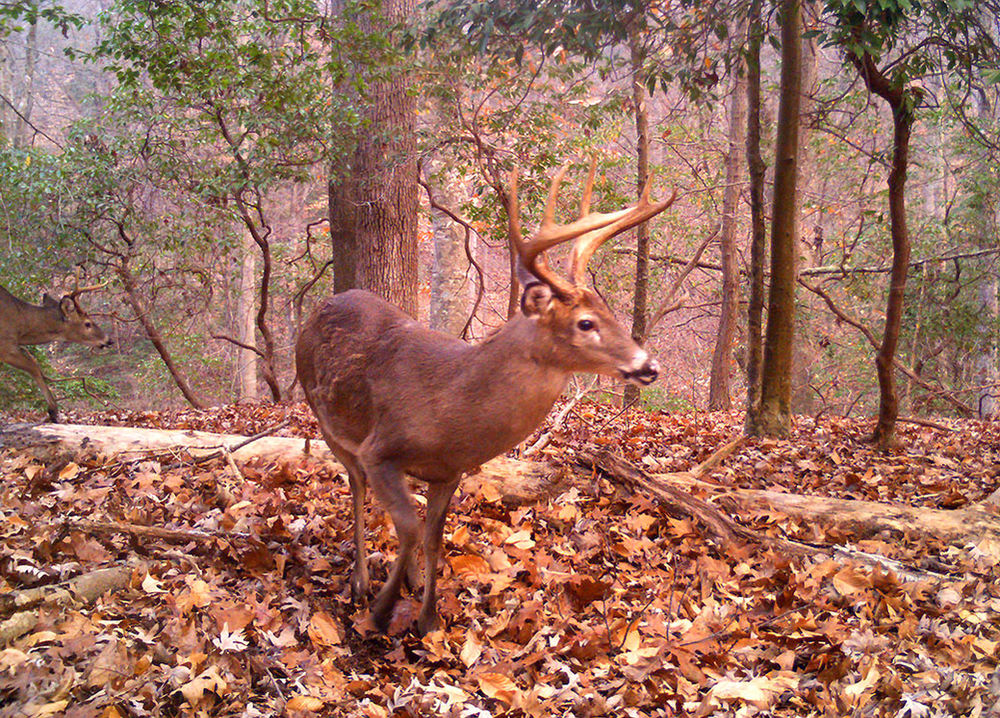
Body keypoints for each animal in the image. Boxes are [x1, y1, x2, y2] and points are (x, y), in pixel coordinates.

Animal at [0, 281, 112, 422]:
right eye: (88, 324)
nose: (109, 340)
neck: (20, 325)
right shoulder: (5, 346)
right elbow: (33, 367)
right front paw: (53, 410)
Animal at [296, 161, 676, 635]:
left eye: (610, 312)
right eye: (586, 323)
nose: (649, 366)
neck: (450, 409)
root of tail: (316, 310)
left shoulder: (449, 472)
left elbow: (432, 535)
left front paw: (428, 617)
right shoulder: (379, 450)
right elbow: (409, 526)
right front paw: (382, 611)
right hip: (326, 421)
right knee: (356, 486)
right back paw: (362, 582)